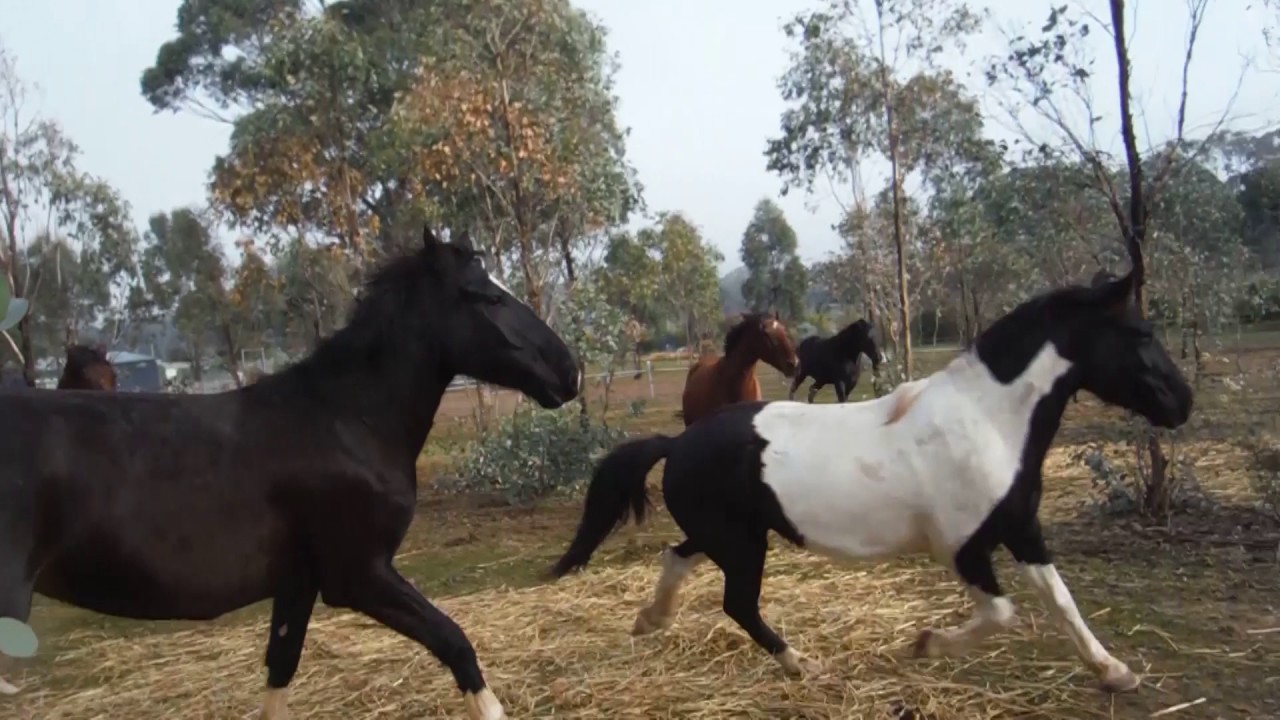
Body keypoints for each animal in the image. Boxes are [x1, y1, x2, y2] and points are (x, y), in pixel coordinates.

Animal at [0, 226, 579, 720]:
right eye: (486, 297)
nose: (569, 371)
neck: (348, 420)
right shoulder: (359, 575)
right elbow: (455, 643)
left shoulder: (299, 582)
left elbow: (281, 668)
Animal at [549, 269, 1192, 696]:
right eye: (1139, 334)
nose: (1181, 402)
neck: (987, 419)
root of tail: (678, 443)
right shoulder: (965, 549)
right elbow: (1002, 613)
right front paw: (926, 644)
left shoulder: (1020, 527)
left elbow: (1060, 599)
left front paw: (1114, 671)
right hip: (742, 545)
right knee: (738, 604)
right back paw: (800, 664)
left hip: (729, 536)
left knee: (678, 556)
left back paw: (651, 620)